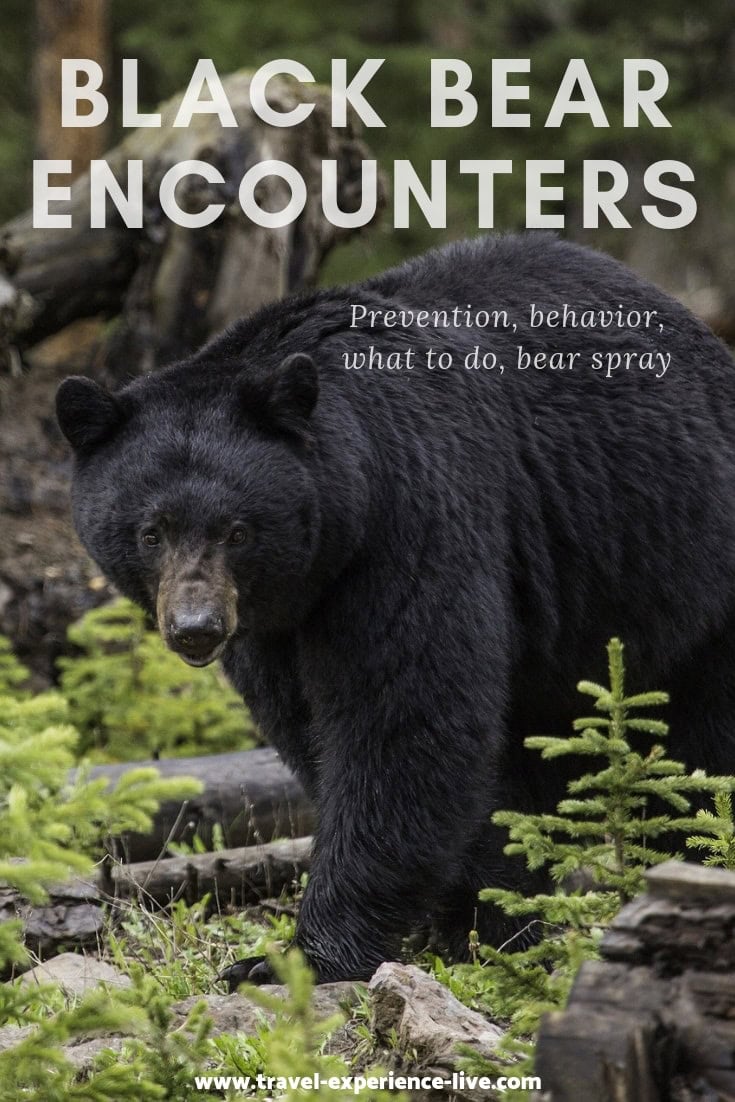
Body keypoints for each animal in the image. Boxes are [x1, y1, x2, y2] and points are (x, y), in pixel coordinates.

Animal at [55, 233, 735, 987]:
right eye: (151, 531)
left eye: (237, 530)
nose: (196, 629)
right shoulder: (276, 621)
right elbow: (314, 726)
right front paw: (478, 917)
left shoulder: (410, 515)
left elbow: (402, 718)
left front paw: (299, 956)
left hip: (684, 571)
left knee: (698, 748)